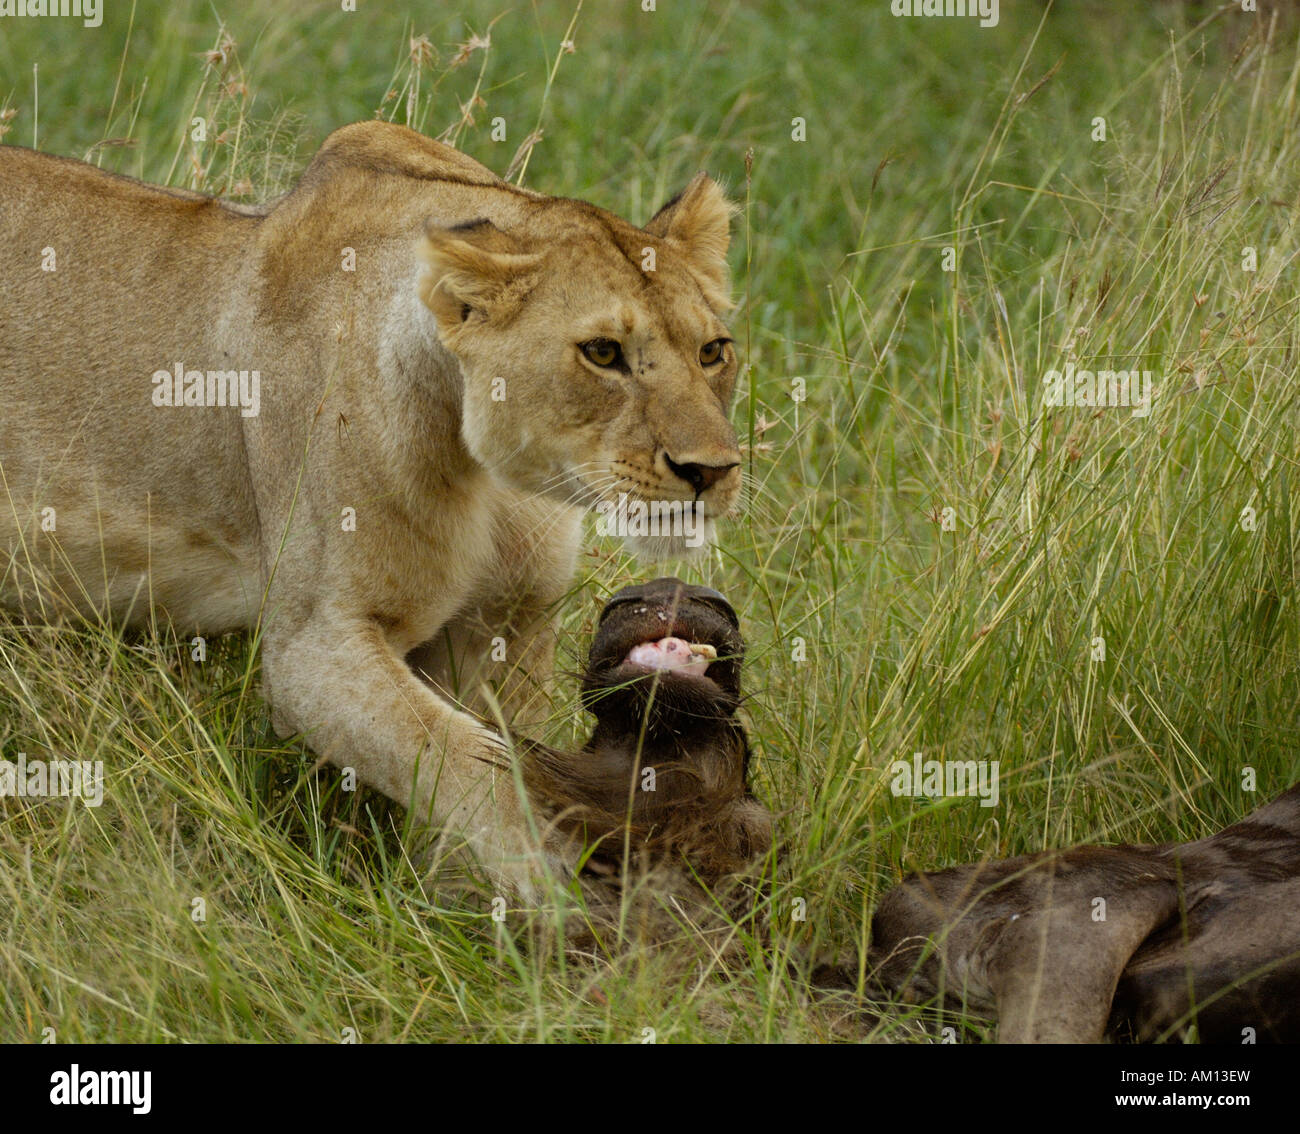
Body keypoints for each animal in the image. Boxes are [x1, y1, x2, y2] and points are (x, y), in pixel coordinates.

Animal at [0, 120, 743, 897]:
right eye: (602, 353)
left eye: (713, 351)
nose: (710, 470)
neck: (488, 471)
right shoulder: (316, 647)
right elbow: (471, 765)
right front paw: (558, 903)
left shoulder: (506, 626)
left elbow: (499, 757)